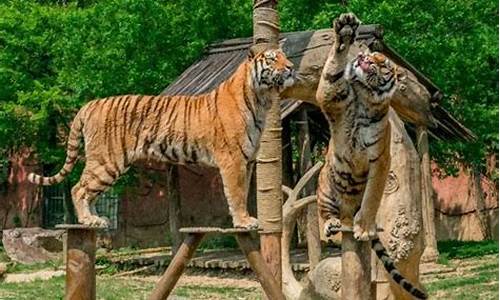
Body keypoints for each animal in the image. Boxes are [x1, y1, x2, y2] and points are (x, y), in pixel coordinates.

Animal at [29, 48, 294, 230]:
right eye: (272, 59)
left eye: (285, 56)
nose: (291, 67)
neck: (261, 99)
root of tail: (90, 104)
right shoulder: (232, 160)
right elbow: (237, 194)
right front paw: (244, 222)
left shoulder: (247, 160)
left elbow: (244, 192)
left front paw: (248, 219)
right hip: (106, 161)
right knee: (79, 188)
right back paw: (88, 220)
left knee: (89, 191)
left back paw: (97, 218)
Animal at [316, 12, 426, 298]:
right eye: (370, 56)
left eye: (382, 63)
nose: (365, 58)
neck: (364, 100)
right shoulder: (331, 98)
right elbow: (332, 72)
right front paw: (344, 29)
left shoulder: (380, 161)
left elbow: (373, 197)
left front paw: (364, 228)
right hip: (324, 189)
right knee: (326, 215)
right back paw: (332, 224)